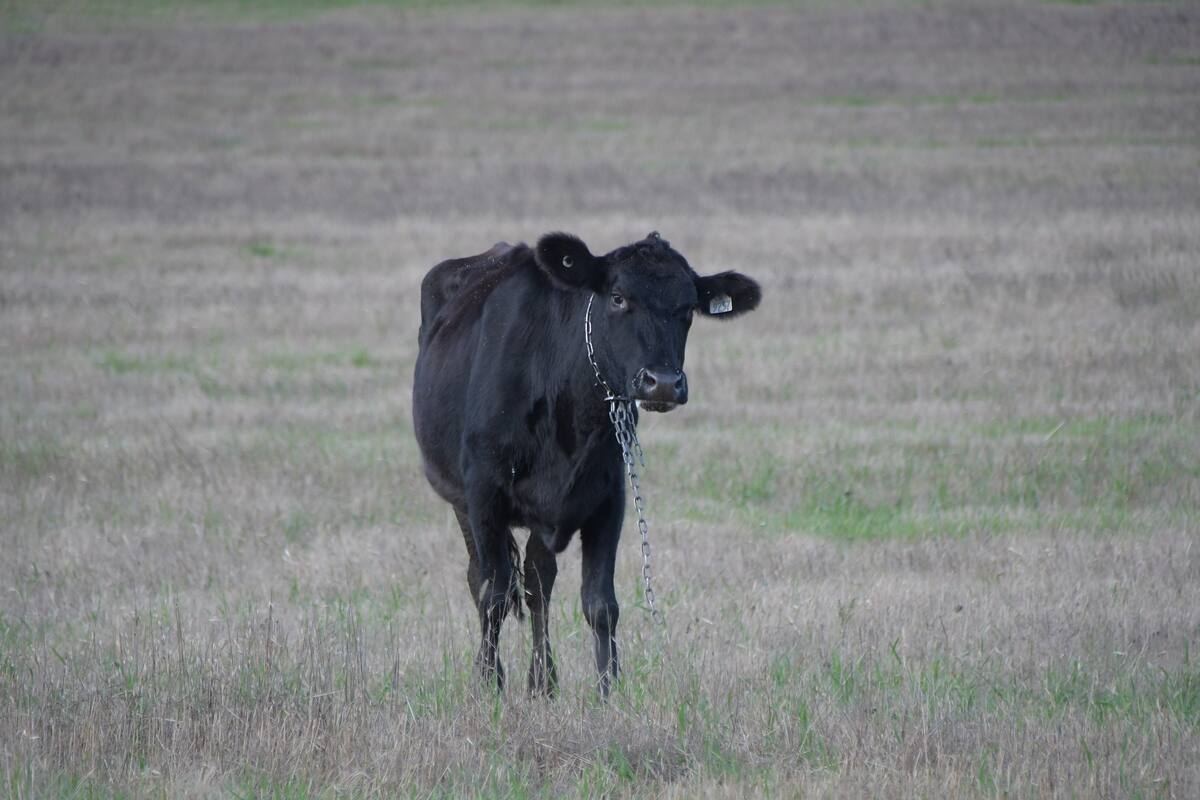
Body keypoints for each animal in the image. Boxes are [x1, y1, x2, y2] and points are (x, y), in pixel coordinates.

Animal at [412, 231, 761, 696]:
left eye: (688, 309)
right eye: (618, 297)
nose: (663, 383)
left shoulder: (608, 497)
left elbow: (600, 604)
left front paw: (609, 691)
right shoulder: (483, 492)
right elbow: (494, 593)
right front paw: (487, 684)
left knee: (538, 580)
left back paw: (543, 682)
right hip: (459, 498)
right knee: (484, 579)